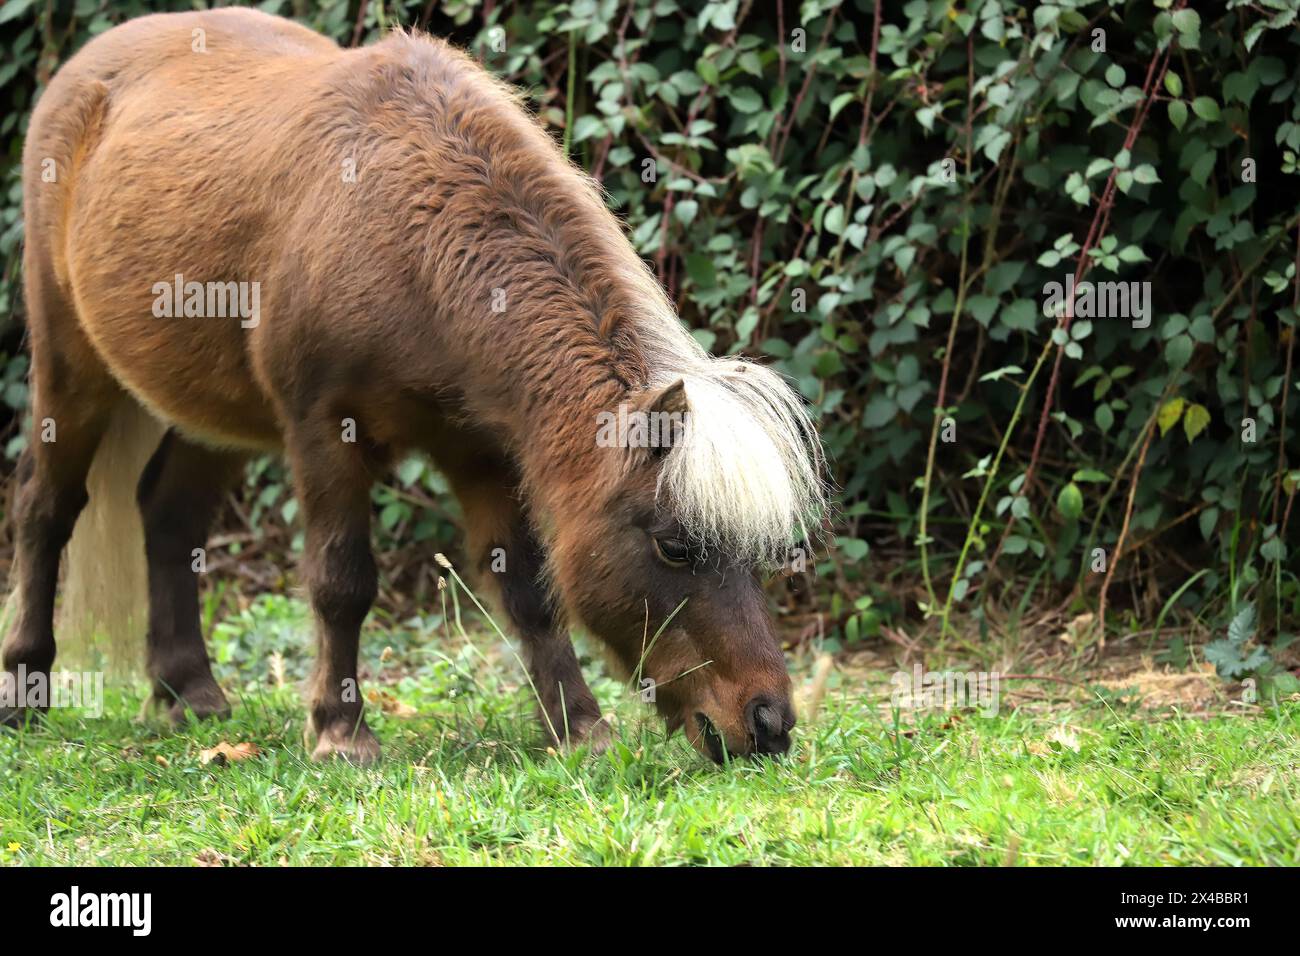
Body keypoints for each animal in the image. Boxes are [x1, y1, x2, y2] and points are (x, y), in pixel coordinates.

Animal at [1, 7, 824, 765]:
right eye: (676, 547)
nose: (767, 724)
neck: (411, 239)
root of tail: (85, 69)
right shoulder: (323, 431)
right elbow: (341, 581)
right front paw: (341, 732)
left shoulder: (481, 448)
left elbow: (528, 590)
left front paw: (577, 728)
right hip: (72, 368)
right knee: (47, 509)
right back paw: (26, 692)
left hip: (212, 411)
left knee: (168, 516)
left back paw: (188, 693)